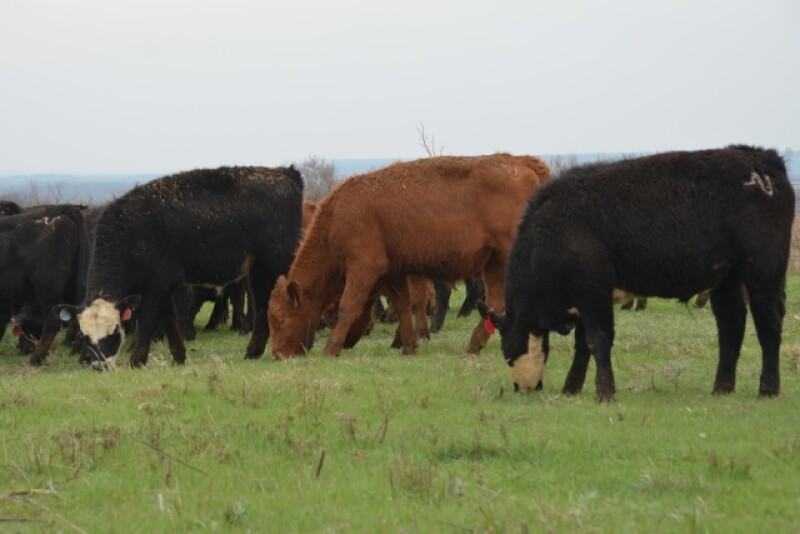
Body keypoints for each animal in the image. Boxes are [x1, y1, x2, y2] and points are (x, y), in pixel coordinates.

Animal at [55, 166, 303, 368]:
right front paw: (179, 357)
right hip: (259, 269)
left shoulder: (158, 284)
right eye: (86, 337)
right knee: (262, 307)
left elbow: (149, 322)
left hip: (283, 260)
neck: (129, 233)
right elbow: (169, 322)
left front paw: (136, 361)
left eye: (114, 331)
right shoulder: (161, 287)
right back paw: (253, 353)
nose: (99, 365)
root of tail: (285, 172)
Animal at [268, 153, 551, 359]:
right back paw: (474, 345)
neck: (336, 218)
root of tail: (520, 163)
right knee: (494, 301)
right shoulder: (394, 273)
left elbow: (348, 306)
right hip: (493, 260)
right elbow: (404, 306)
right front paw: (409, 347)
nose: (279, 355)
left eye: (280, 319)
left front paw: (330, 349)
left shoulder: (363, 269)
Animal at [481, 146, 794, 401]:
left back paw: (768, 389)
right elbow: (583, 345)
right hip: (727, 277)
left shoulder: (593, 293)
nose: (521, 388)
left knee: (768, 323)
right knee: (731, 325)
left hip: (763, 271)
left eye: (507, 354)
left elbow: (598, 340)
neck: (549, 231)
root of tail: (763, 160)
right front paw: (572, 387)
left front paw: (604, 392)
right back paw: (721, 388)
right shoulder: (584, 298)